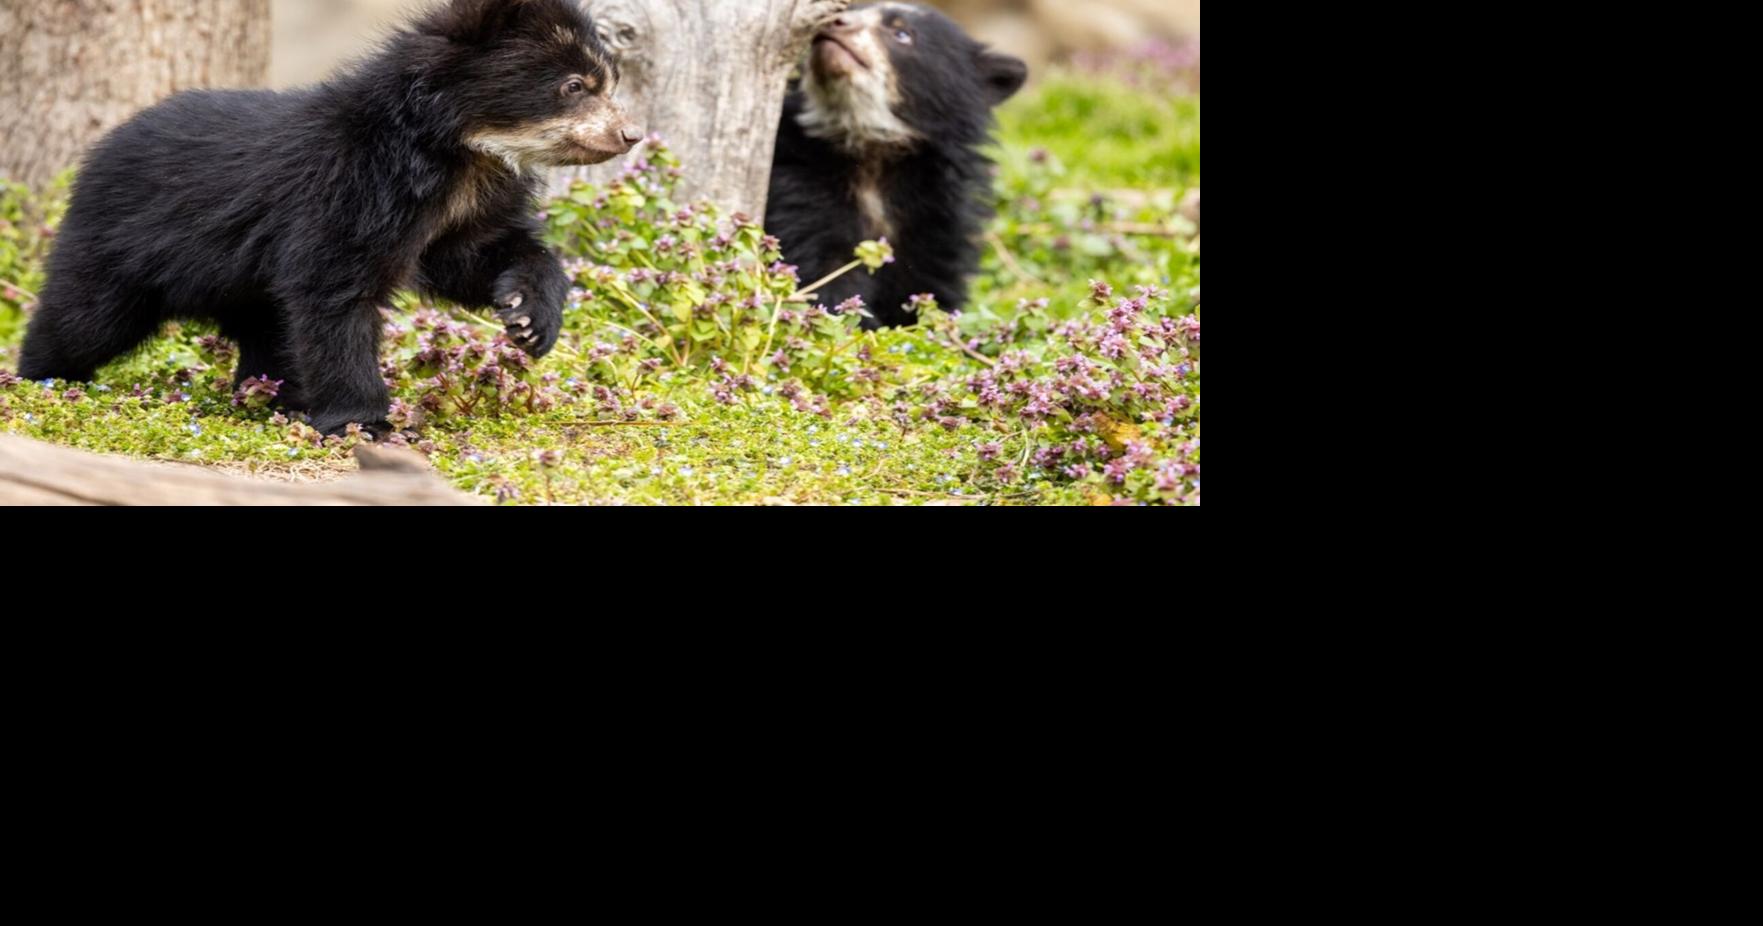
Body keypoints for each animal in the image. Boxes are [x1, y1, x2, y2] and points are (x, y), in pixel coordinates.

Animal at [17, 0, 641, 436]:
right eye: (574, 86)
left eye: (609, 82)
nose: (630, 135)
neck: (457, 155)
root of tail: (102, 149)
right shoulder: (351, 190)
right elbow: (334, 291)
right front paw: (367, 423)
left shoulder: (464, 208)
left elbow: (476, 256)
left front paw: (529, 320)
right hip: (120, 245)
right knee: (82, 319)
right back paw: (41, 380)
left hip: (241, 285)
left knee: (269, 334)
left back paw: (276, 400)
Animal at [765, 2, 1028, 329]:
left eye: (902, 33)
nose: (835, 23)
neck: (872, 154)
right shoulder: (800, 190)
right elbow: (820, 271)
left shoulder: (937, 219)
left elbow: (927, 285)